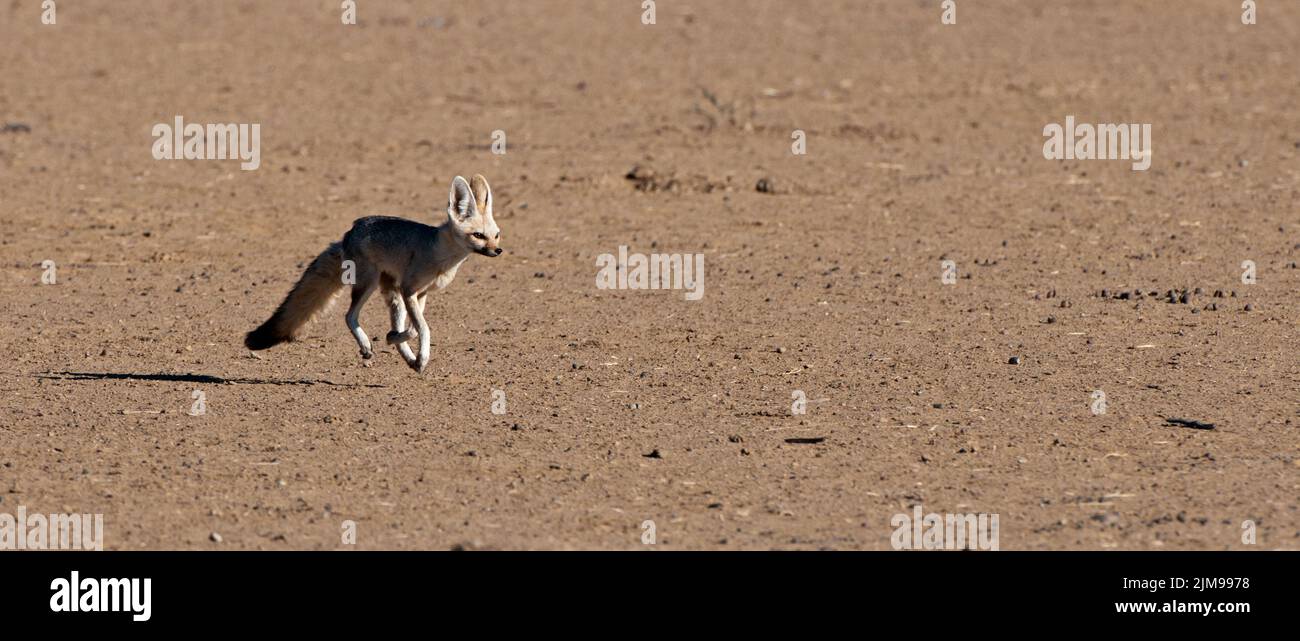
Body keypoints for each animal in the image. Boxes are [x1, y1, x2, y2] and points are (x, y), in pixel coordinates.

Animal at [244, 174, 502, 373]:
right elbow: (421, 328)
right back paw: (368, 346)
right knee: (349, 315)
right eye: (478, 236)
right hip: (368, 284)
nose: (497, 250)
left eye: (496, 235)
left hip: (391, 292)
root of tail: (349, 232)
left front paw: (401, 343)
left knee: (392, 322)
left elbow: (412, 328)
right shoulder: (410, 289)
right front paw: (420, 354)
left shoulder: (421, 293)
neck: (441, 255)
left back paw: (407, 355)